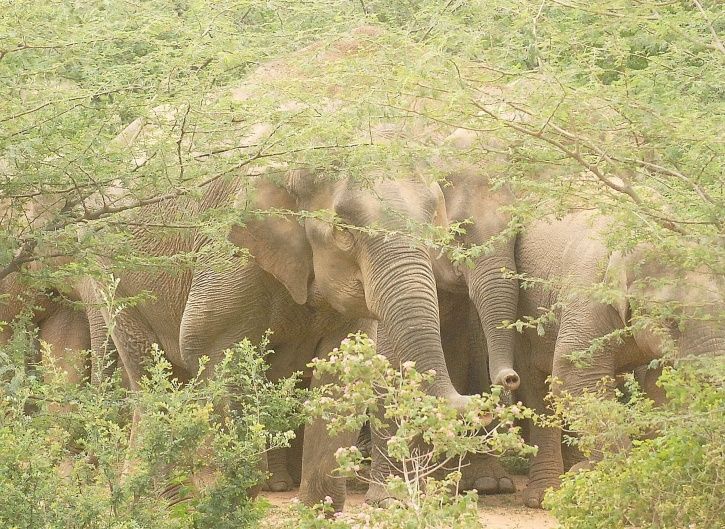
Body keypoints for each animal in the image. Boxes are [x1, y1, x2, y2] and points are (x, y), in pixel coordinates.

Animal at [513, 212, 724, 508]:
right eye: (670, 320)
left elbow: (659, 386)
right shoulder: (588, 292)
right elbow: (575, 374)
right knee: (537, 386)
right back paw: (545, 494)